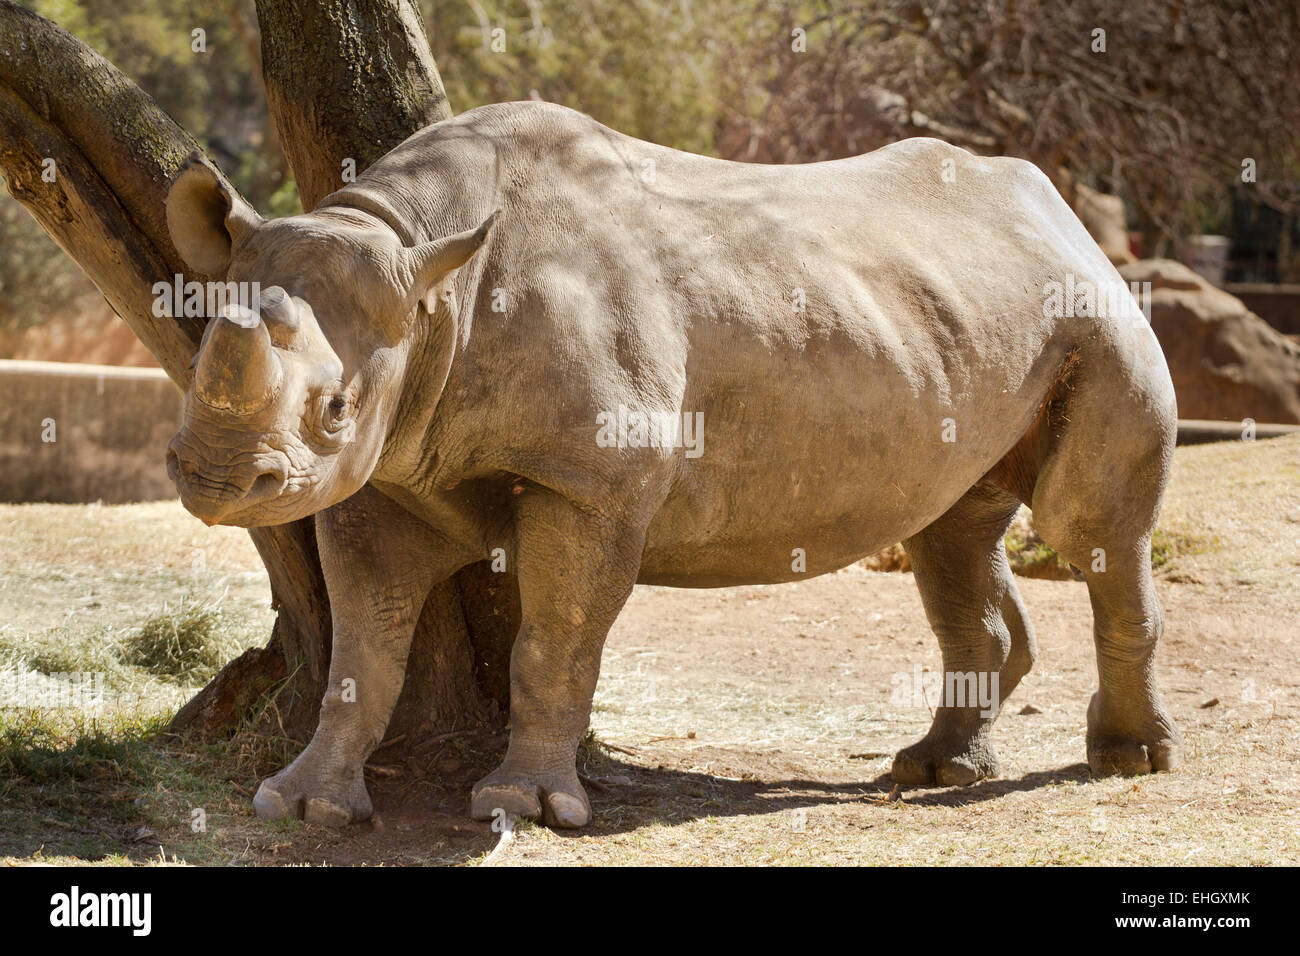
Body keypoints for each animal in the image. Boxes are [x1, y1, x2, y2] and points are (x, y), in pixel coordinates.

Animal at [164, 101, 1181, 829]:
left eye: (336, 408)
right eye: (195, 351)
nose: (215, 482)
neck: (428, 281)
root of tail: (1064, 216)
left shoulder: (592, 483)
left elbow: (553, 642)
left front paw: (525, 808)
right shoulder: (386, 474)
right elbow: (363, 651)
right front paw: (302, 803)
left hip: (1096, 312)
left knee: (1089, 529)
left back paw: (1127, 761)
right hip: (965, 318)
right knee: (953, 529)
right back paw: (936, 767)